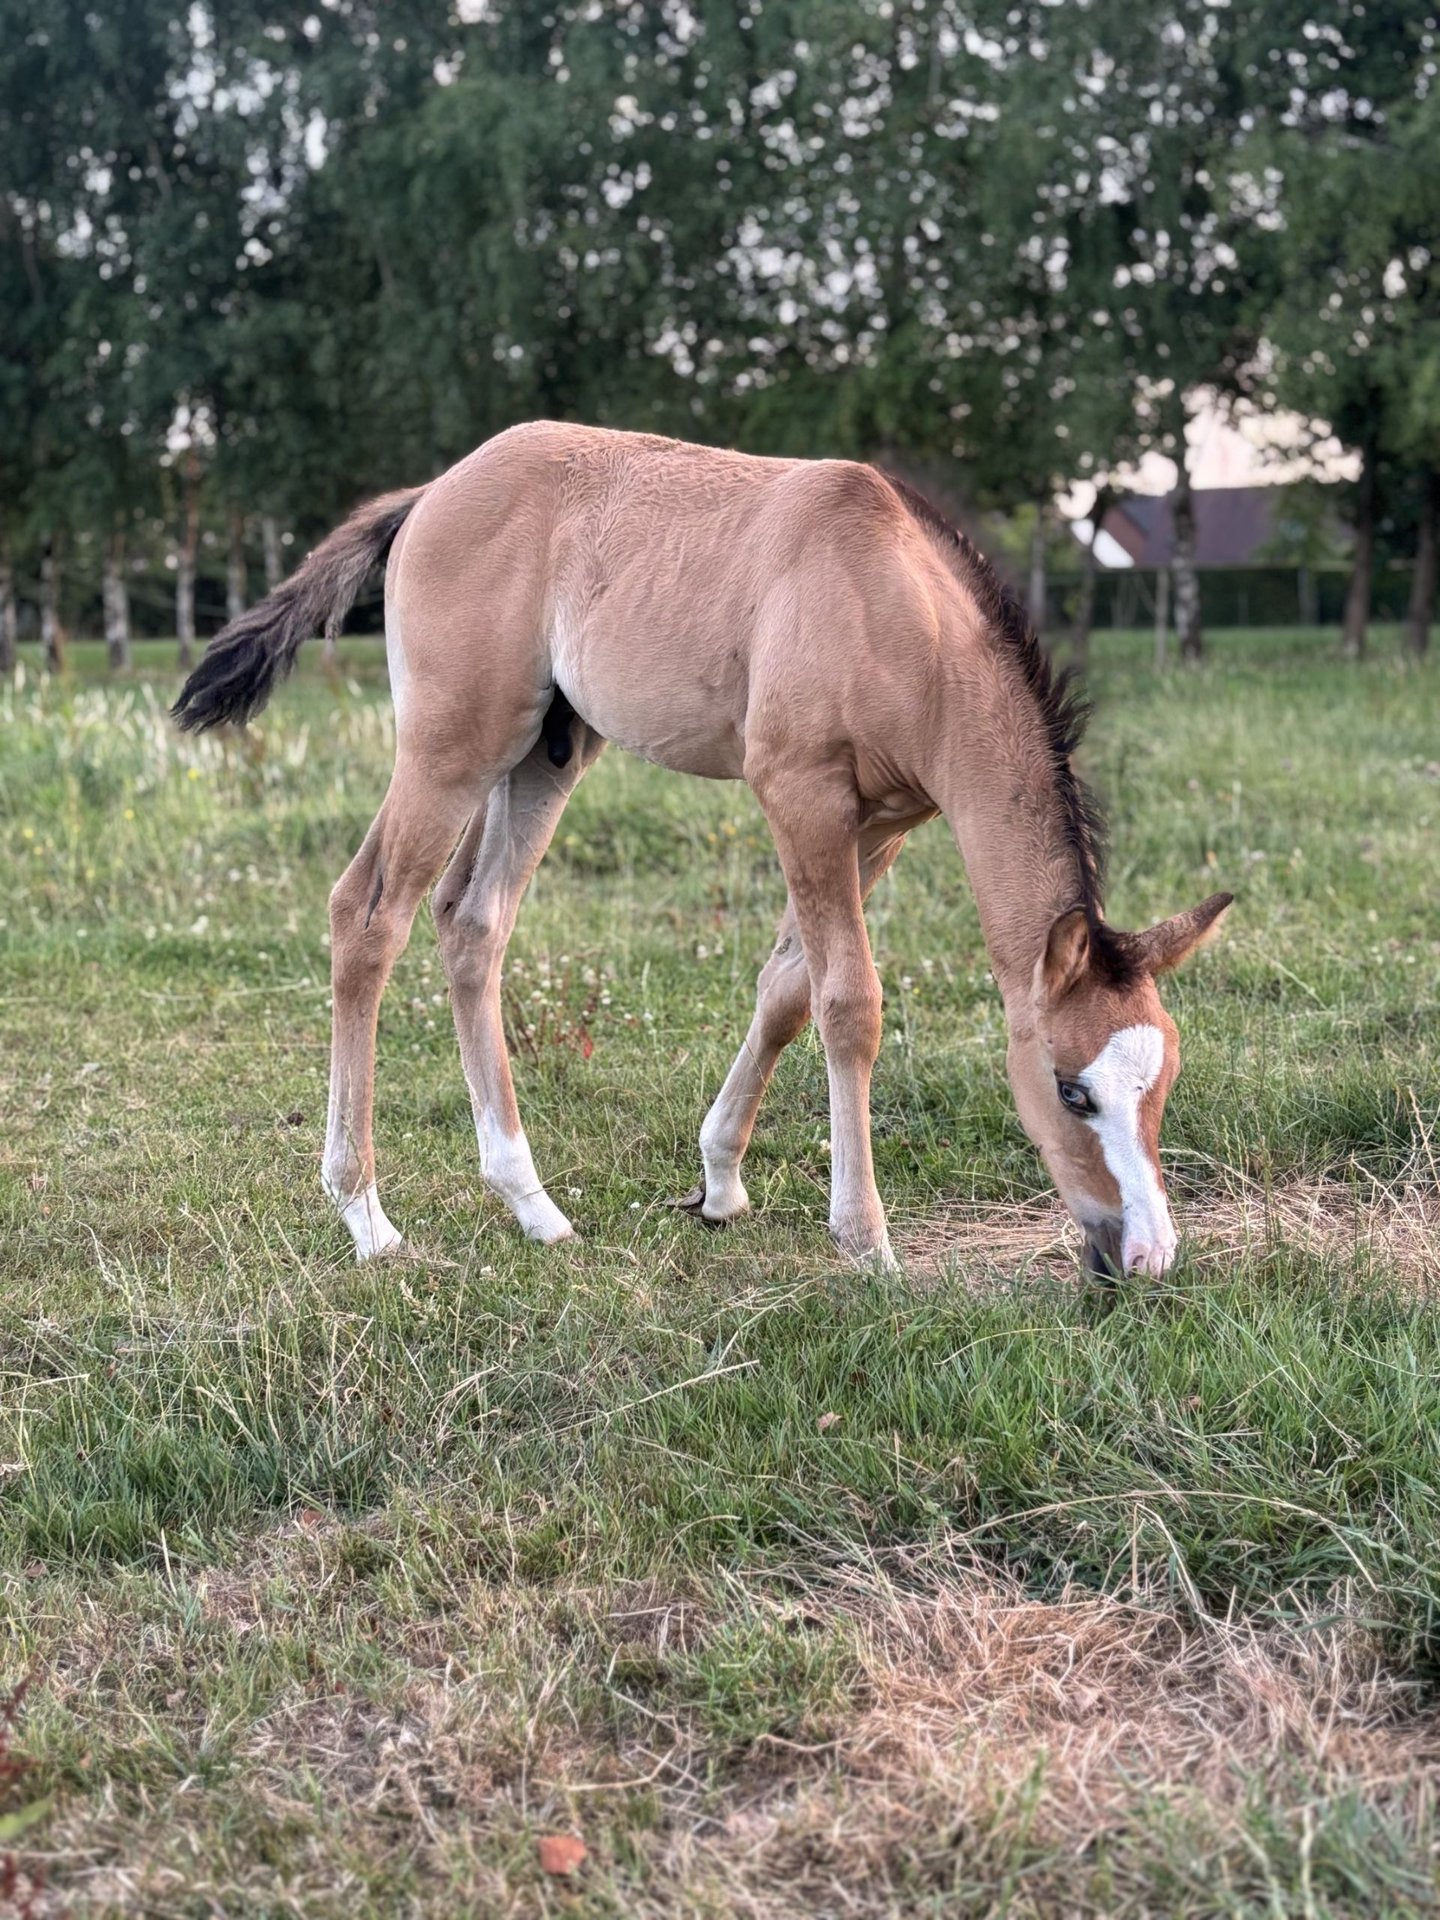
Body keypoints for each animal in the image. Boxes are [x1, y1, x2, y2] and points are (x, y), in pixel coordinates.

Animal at [174, 423, 1230, 1277]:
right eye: (1072, 1091)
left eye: (1165, 1081)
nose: (1147, 1256)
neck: (903, 619)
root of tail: (433, 492)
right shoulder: (802, 795)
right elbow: (850, 1004)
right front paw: (866, 1238)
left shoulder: (881, 825)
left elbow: (788, 989)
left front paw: (719, 1182)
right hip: (452, 746)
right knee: (369, 914)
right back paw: (366, 1216)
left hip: (545, 752)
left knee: (471, 922)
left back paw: (532, 1205)